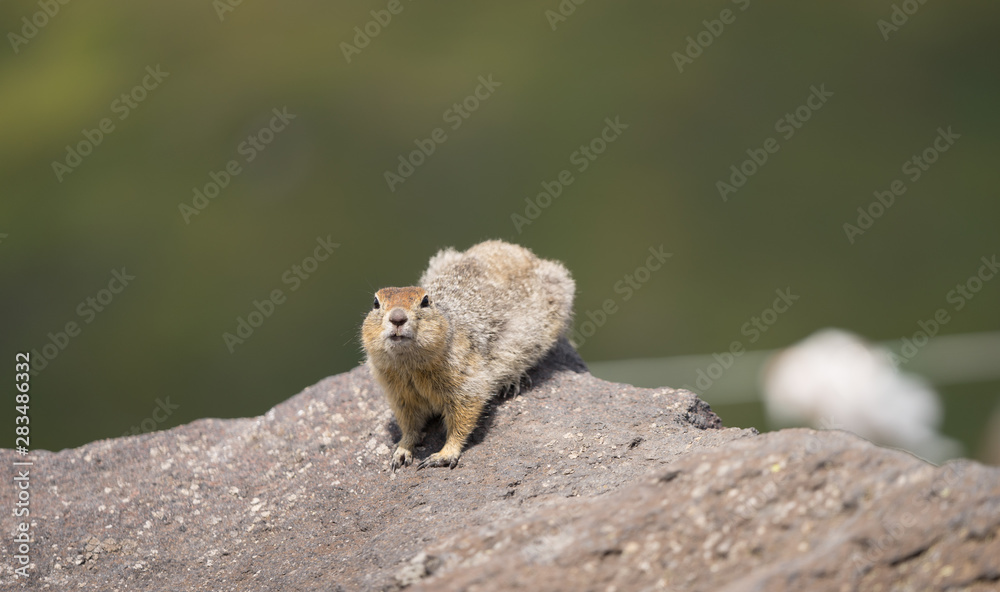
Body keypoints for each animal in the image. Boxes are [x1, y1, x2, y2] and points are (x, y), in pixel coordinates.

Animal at [361, 240, 575, 470]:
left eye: (425, 301)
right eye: (375, 303)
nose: (398, 318)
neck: (409, 366)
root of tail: (517, 249)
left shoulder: (465, 377)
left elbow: (463, 414)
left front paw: (443, 455)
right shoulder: (398, 393)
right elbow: (408, 423)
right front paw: (401, 450)